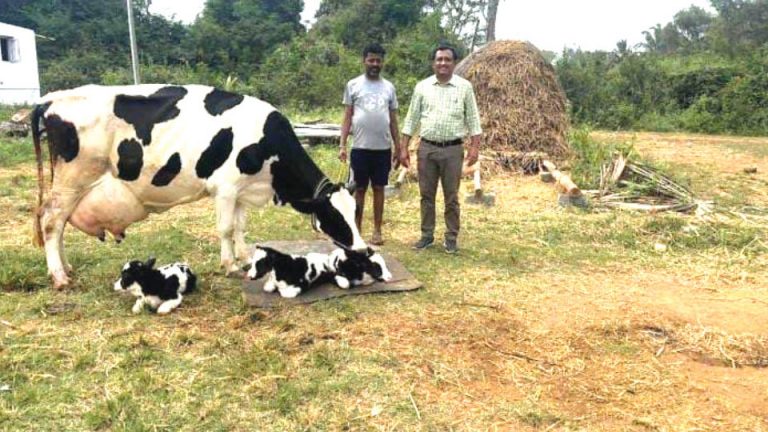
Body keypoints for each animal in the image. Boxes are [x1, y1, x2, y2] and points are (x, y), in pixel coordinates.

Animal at [31, 84, 366, 288]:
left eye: (355, 212)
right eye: (334, 216)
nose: (363, 249)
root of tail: (50, 100)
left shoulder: (242, 190)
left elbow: (240, 226)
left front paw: (245, 257)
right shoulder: (226, 187)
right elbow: (226, 228)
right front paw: (230, 265)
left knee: (57, 225)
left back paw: (66, 268)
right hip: (71, 181)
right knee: (51, 222)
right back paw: (59, 276)